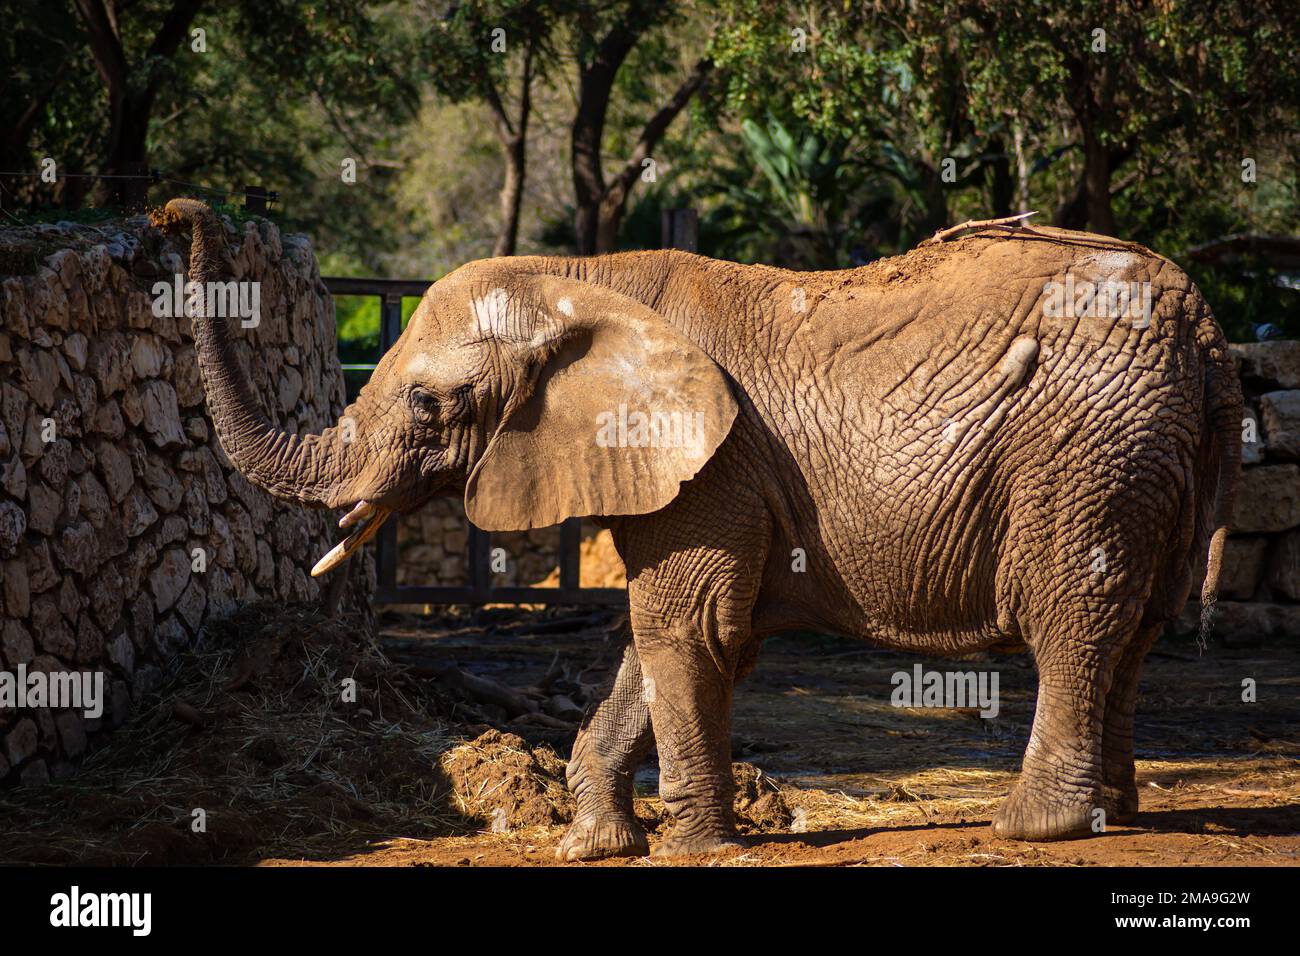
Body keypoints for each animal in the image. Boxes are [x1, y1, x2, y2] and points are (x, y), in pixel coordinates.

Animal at [157, 198, 1241, 858]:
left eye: (427, 404)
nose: (177, 213)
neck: (584, 276)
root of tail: (1208, 327)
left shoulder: (709, 466)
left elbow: (685, 628)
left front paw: (692, 848)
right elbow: (652, 640)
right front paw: (592, 845)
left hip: (1088, 455)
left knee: (1073, 619)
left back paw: (1033, 826)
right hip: (1145, 461)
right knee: (1135, 629)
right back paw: (1115, 814)